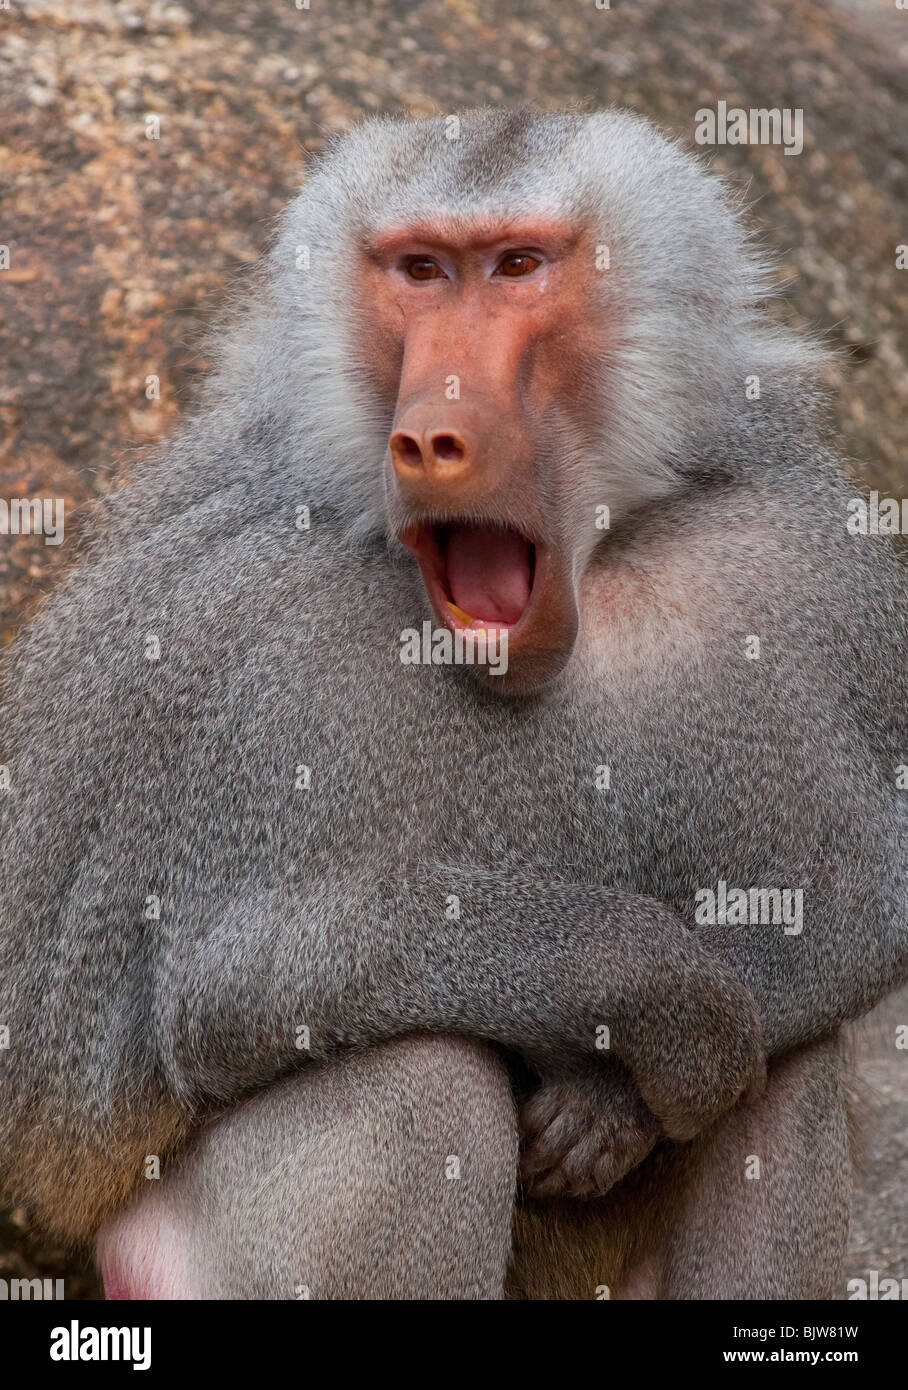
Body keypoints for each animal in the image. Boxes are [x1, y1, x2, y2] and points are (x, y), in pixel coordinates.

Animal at [0, 107, 905, 1299]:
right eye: (420, 271)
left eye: (517, 265)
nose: (432, 437)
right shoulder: (269, 660)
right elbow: (236, 983)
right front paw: (664, 1002)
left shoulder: (797, 570)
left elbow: (858, 901)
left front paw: (616, 1097)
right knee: (420, 1073)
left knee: (793, 1069)